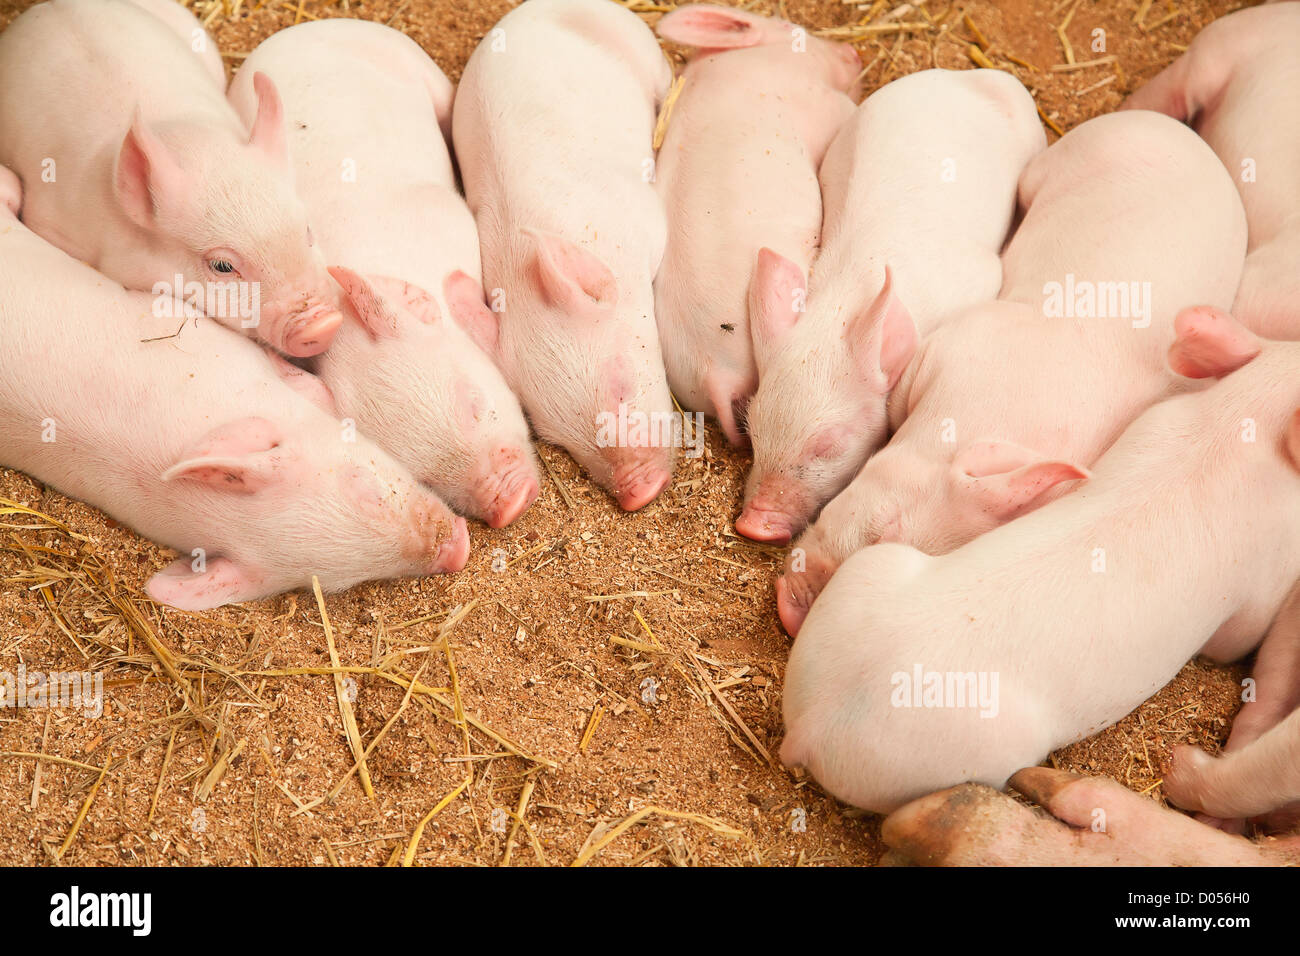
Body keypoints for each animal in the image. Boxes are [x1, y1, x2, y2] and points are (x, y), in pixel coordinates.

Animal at [0, 0, 344, 357]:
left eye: (308, 232)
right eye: (222, 266)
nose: (325, 323)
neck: (187, 136)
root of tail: (48, 6)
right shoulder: (49, 222)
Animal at [228, 20, 539, 528]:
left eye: (474, 404)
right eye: (426, 476)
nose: (509, 502)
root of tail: (303, 27)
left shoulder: (447, 215)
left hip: (414, 63)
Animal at [777, 109, 1247, 635]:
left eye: (887, 541)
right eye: (885, 527)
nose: (787, 608)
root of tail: (1185, 136)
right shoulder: (958, 345)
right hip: (1065, 158)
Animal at [780, 305, 1300, 816]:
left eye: (884, 525)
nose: (788, 599)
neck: (1237, 428)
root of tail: (807, 727)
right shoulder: (1262, 583)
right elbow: (1237, 641)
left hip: (875, 576)